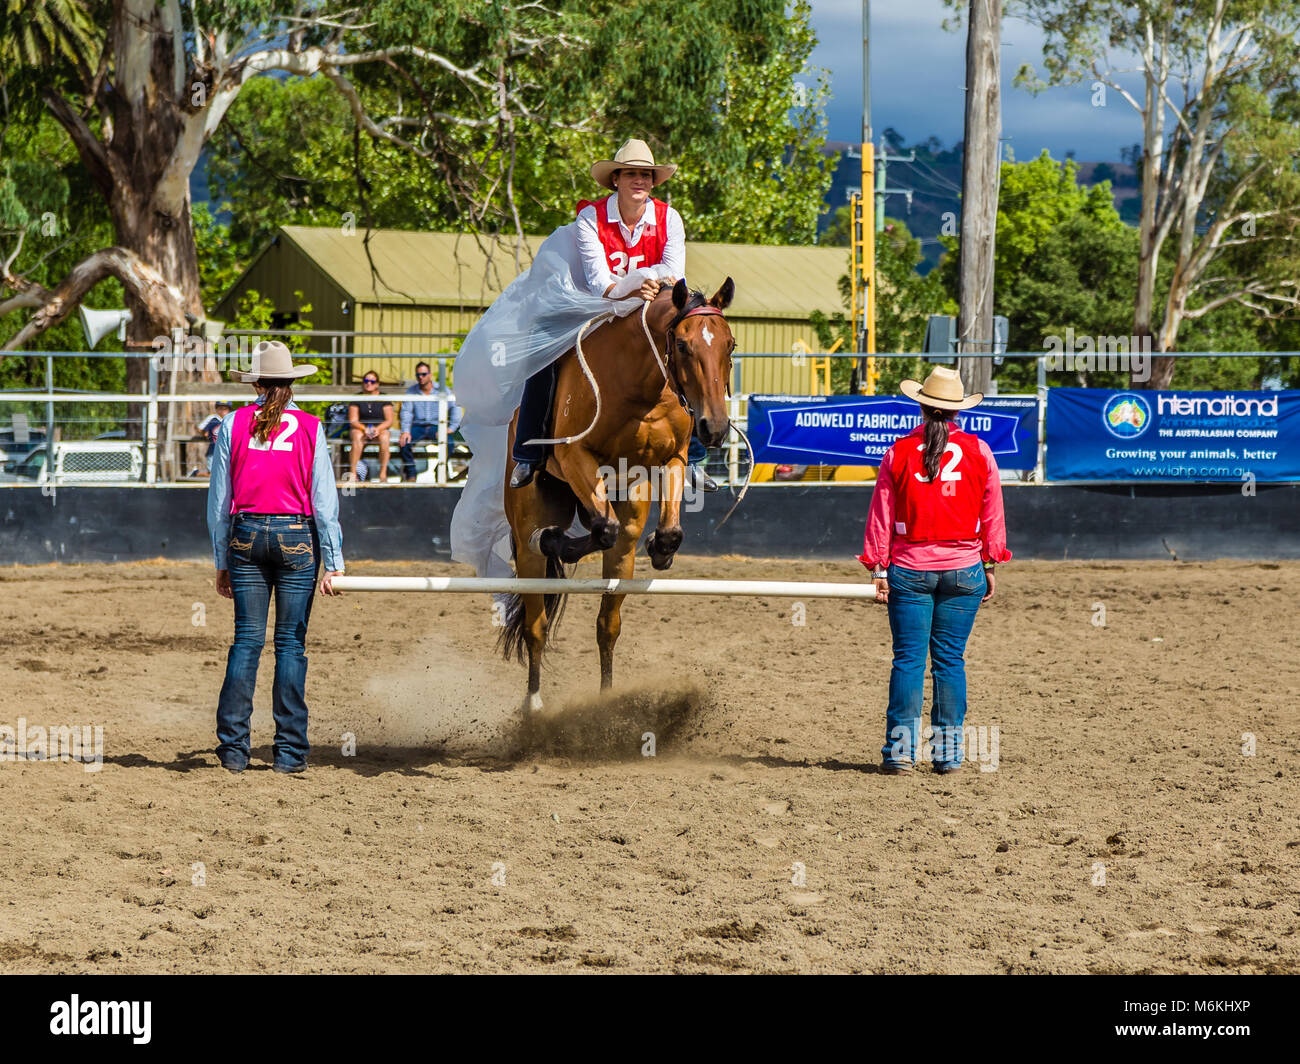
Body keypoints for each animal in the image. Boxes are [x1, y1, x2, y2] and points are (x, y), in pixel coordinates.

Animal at [498, 277, 736, 713]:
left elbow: (664, 530)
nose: (714, 428)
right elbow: (601, 527)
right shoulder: (573, 455)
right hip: (526, 535)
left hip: (623, 532)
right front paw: (556, 540)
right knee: (536, 623)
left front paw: (660, 548)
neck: (640, 385)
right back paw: (534, 703)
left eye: (729, 344)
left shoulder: (671, 458)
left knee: (607, 620)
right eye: (682, 345)